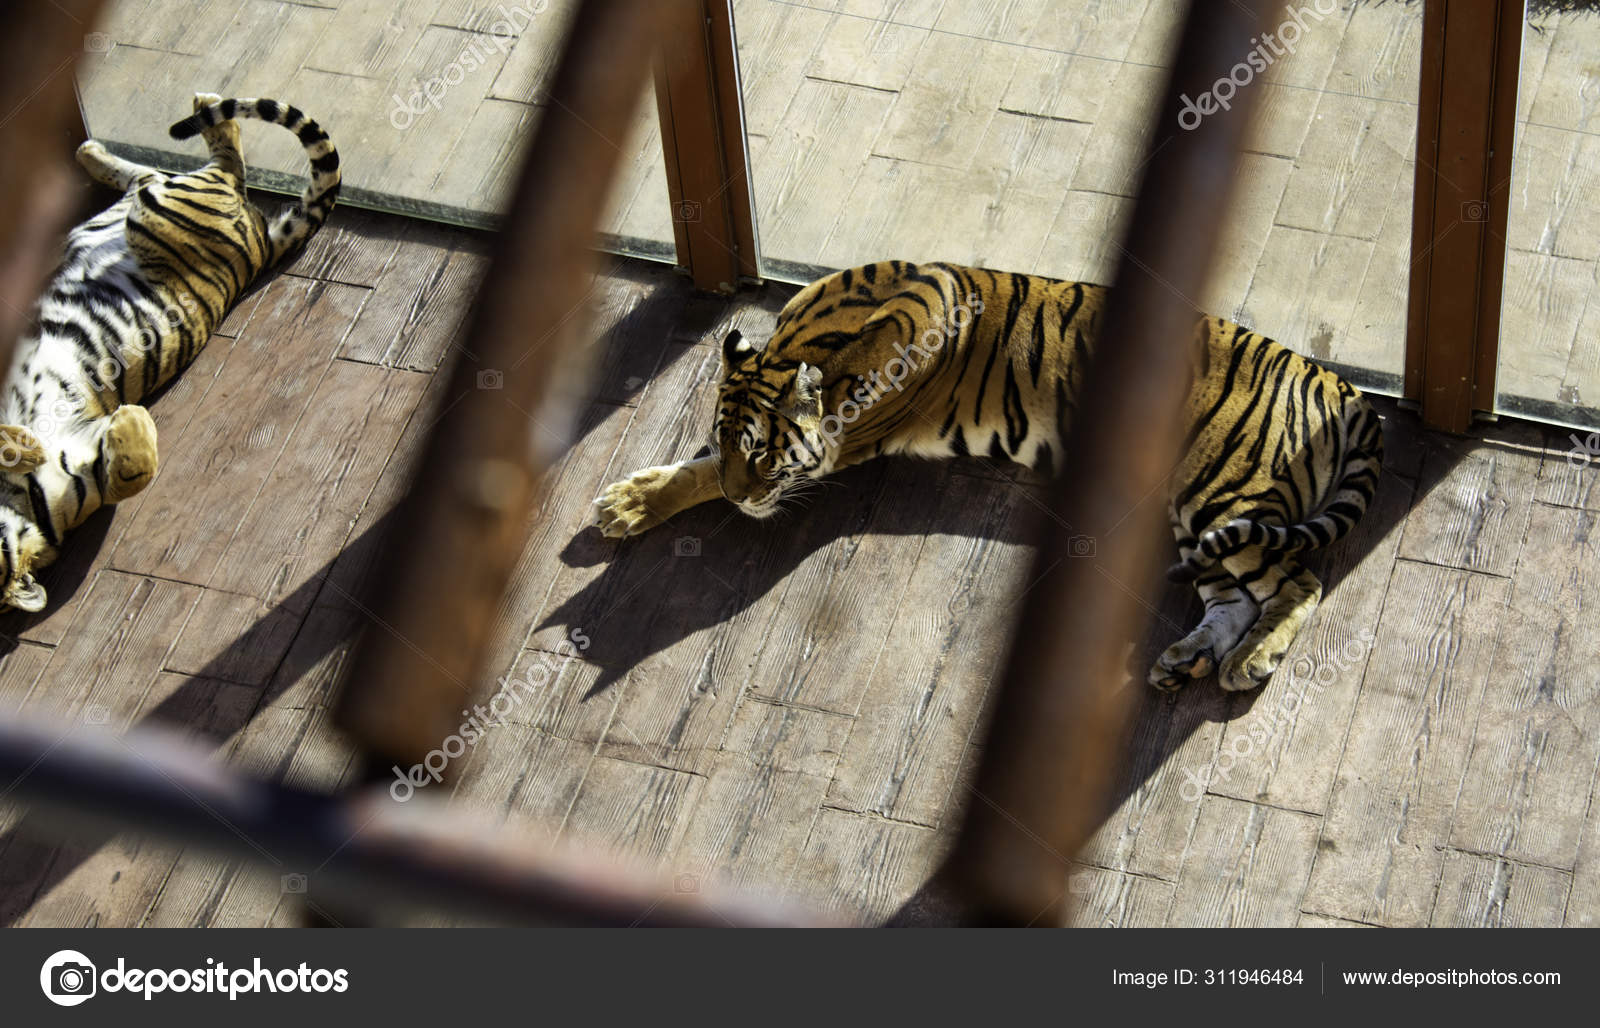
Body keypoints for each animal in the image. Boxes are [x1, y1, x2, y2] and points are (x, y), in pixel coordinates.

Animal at [0, 94, 339, 613]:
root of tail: (262, 246)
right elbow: (132, 470)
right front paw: (124, 420)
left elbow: (136, 471)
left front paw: (125, 418)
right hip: (149, 210)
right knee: (172, 172)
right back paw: (99, 149)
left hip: (157, 213)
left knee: (205, 166)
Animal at [592, 260, 1383, 693]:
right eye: (731, 444)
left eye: (760, 456)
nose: (742, 495)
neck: (803, 348)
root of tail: (1339, 383)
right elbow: (692, 468)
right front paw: (636, 498)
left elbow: (696, 479)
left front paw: (633, 504)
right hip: (1197, 516)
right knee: (1233, 598)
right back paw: (1184, 661)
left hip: (1221, 493)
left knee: (1299, 582)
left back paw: (1252, 660)